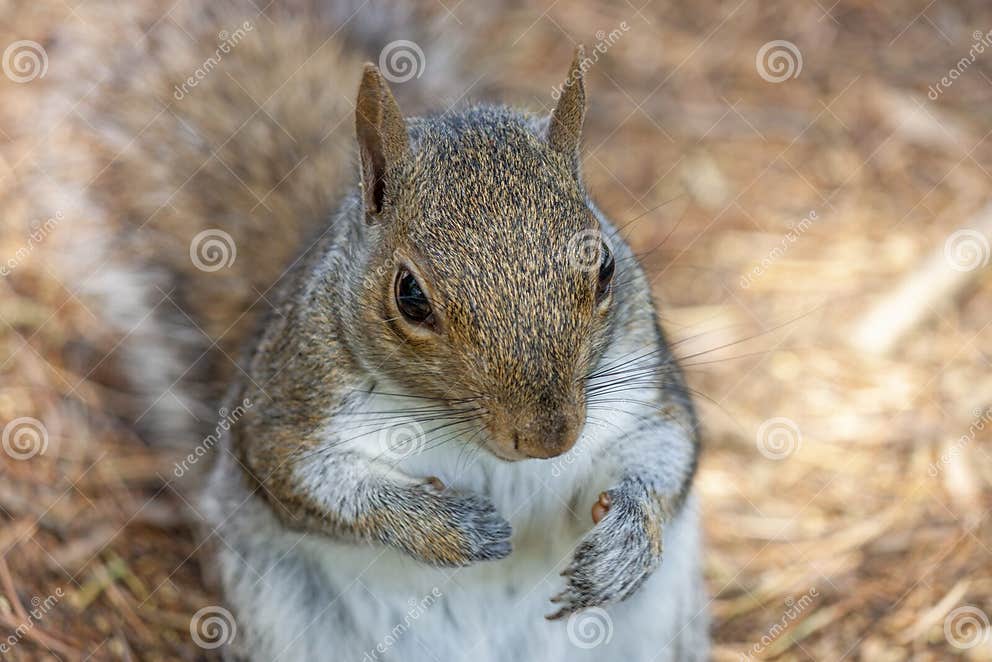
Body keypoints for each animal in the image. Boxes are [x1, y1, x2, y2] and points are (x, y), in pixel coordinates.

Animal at [44, 2, 708, 660]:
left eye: (606, 267)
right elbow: (309, 480)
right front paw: (452, 529)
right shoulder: (291, 405)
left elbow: (665, 452)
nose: (549, 439)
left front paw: (625, 545)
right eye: (410, 297)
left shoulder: (644, 381)